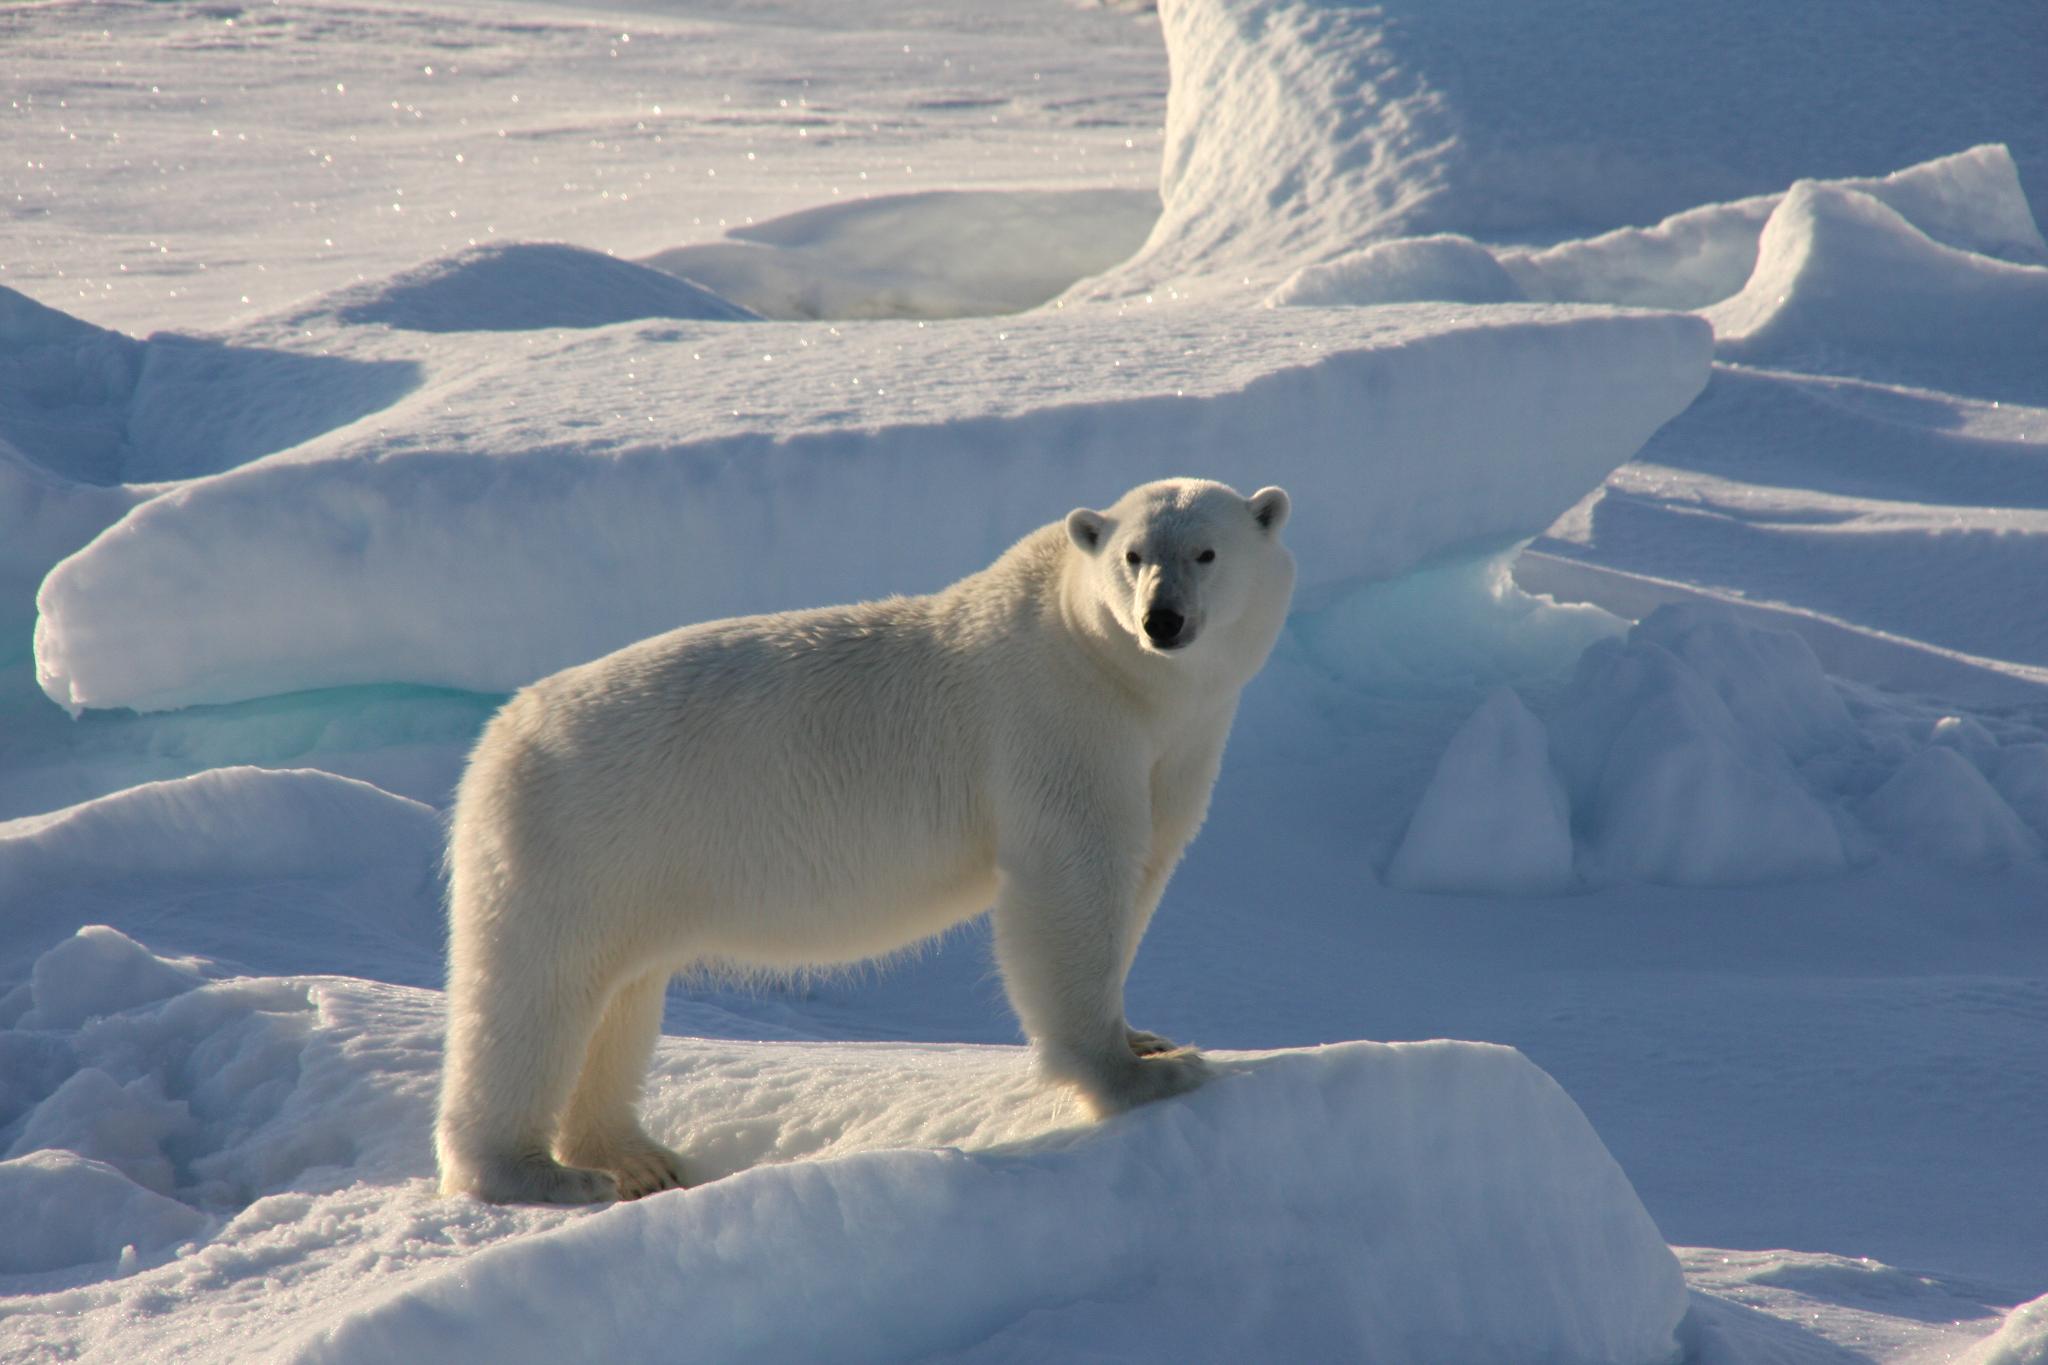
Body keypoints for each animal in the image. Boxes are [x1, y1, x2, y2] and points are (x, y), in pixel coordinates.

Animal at [435, 477, 1294, 1204]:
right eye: (1133, 556)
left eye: (1206, 551)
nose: (1163, 620)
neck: (1102, 663)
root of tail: (499, 735)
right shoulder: (1056, 725)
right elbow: (1071, 885)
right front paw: (1146, 1074)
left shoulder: (1171, 749)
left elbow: (1144, 866)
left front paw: (1147, 1038)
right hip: (572, 832)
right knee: (534, 990)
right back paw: (535, 1172)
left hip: (629, 864)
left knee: (619, 997)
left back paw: (635, 1156)